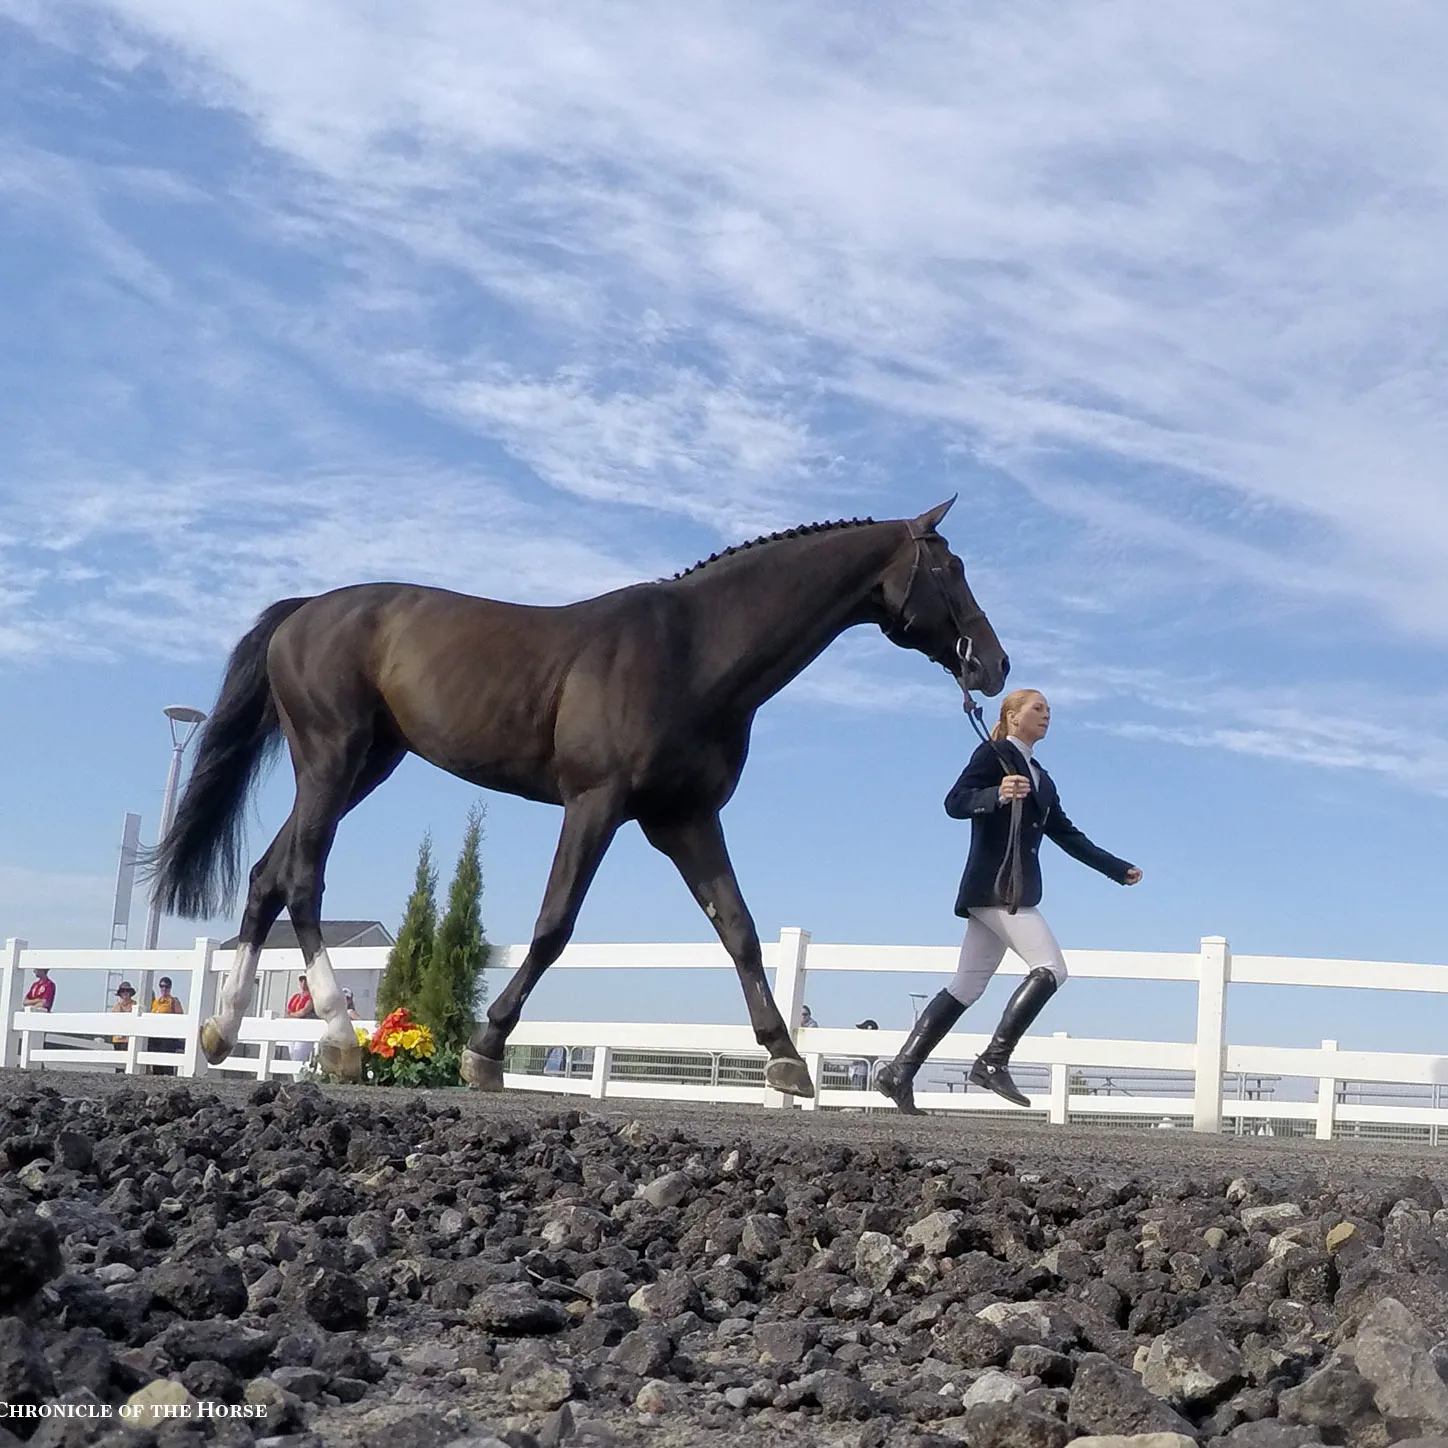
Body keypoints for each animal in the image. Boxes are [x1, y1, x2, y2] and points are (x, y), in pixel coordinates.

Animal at [148, 498, 1009, 1096]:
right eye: (952, 569)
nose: (995, 665)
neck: (695, 651)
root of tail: (302, 613)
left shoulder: (684, 817)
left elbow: (739, 930)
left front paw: (786, 1059)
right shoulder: (596, 803)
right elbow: (554, 925)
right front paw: (486, 1049)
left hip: (364, 765)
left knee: (267, 876)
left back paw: (221, 1033)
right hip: (333, 758)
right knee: (302, 877)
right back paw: (339, 1039)